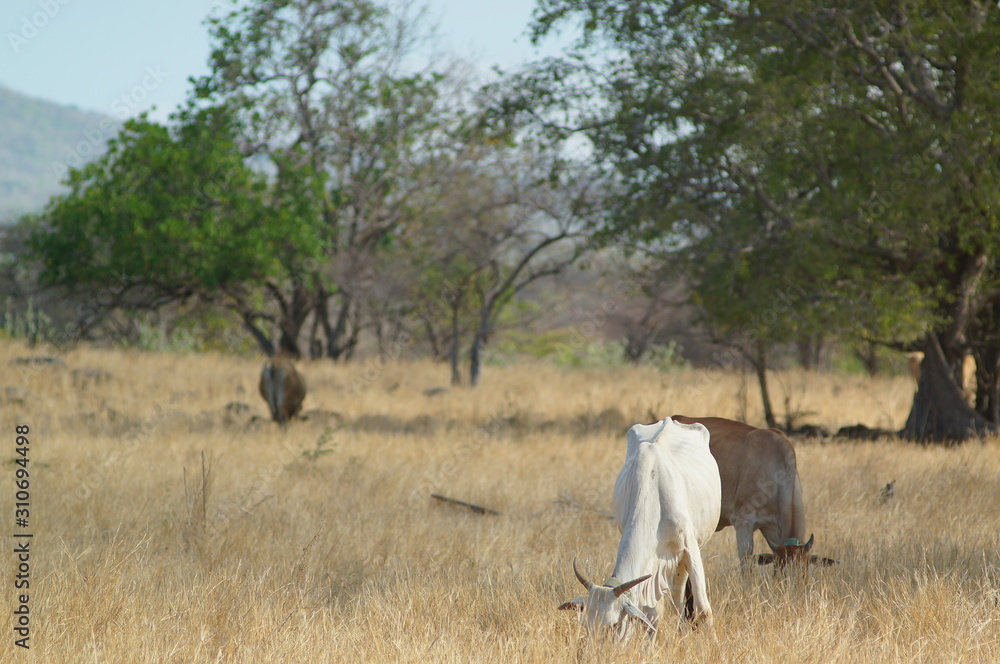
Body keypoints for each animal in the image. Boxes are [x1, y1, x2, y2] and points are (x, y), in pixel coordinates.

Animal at [559, 418, 721, 640]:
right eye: (586, 625)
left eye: (613, 625)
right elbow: (652, 614)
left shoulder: (690, 549)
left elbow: (704, 611)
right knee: (677, 597)